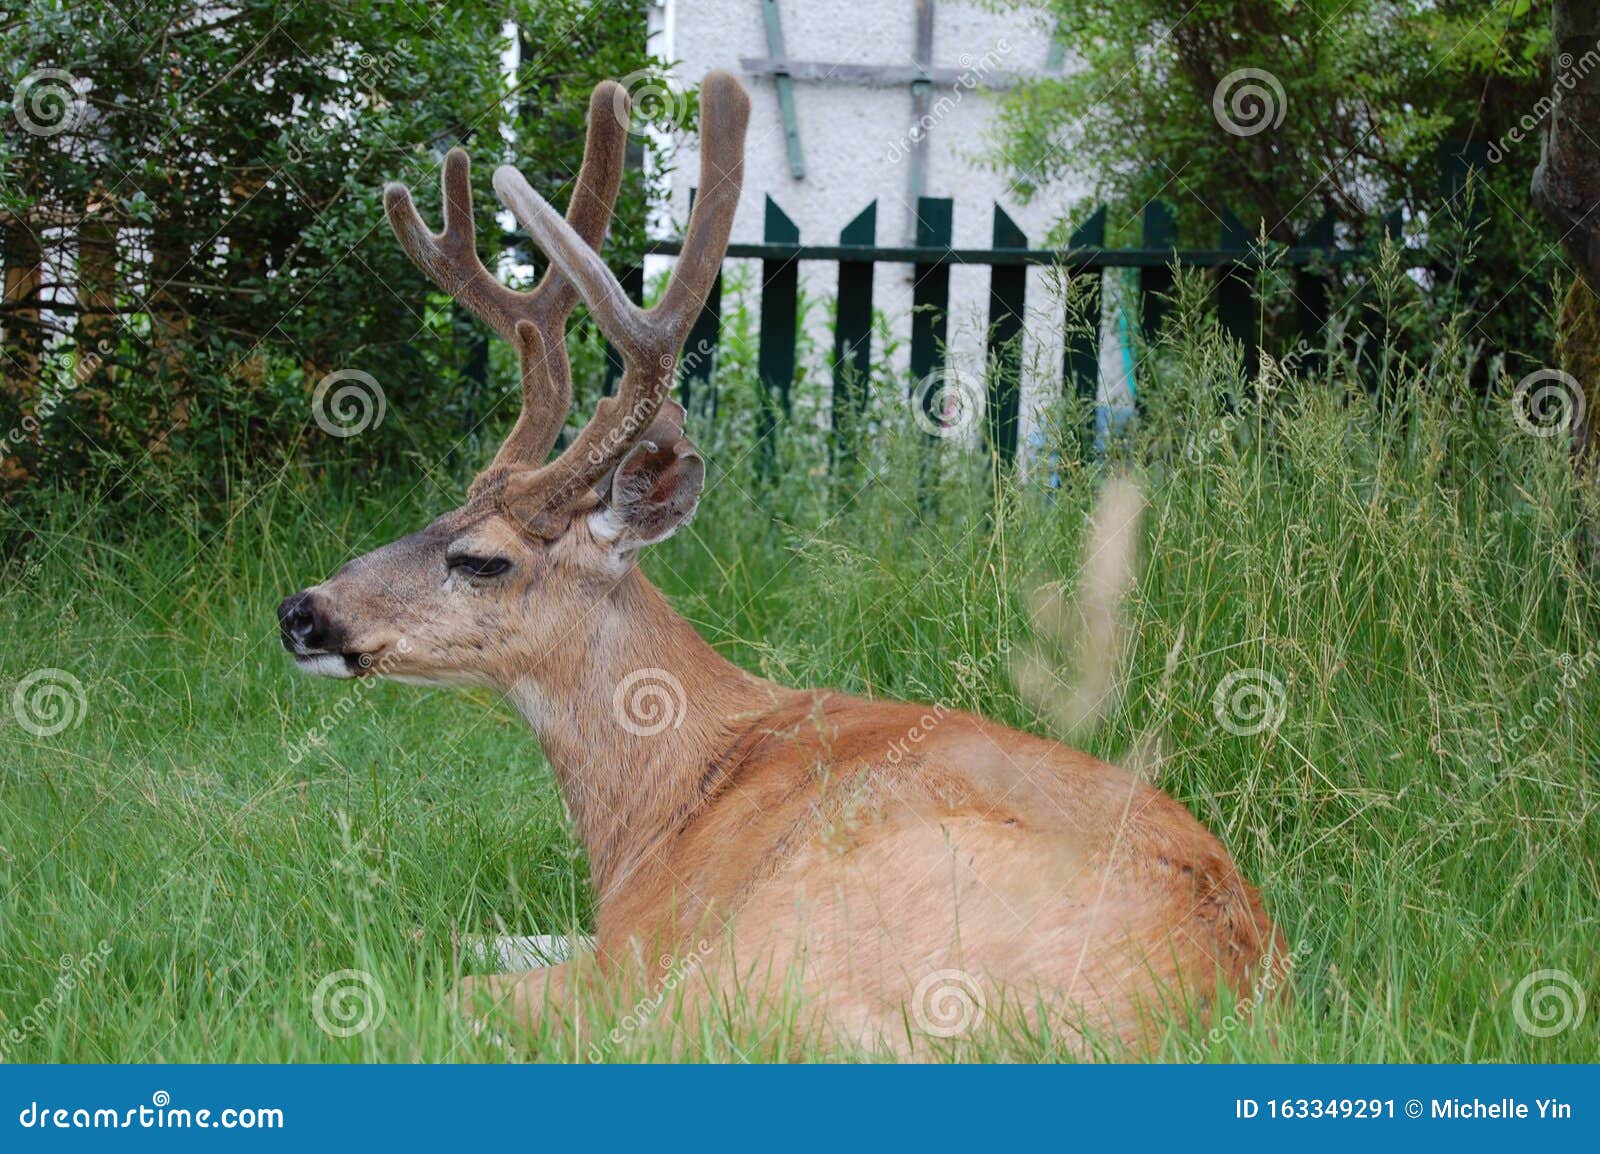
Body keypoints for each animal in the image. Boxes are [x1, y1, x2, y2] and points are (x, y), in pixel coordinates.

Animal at [277, 71, 1282, 1057]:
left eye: (483, 560)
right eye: (437, 513)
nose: (302, 611)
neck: (659, 804)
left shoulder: (641, 940)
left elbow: (465, 970)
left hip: (775, 947)